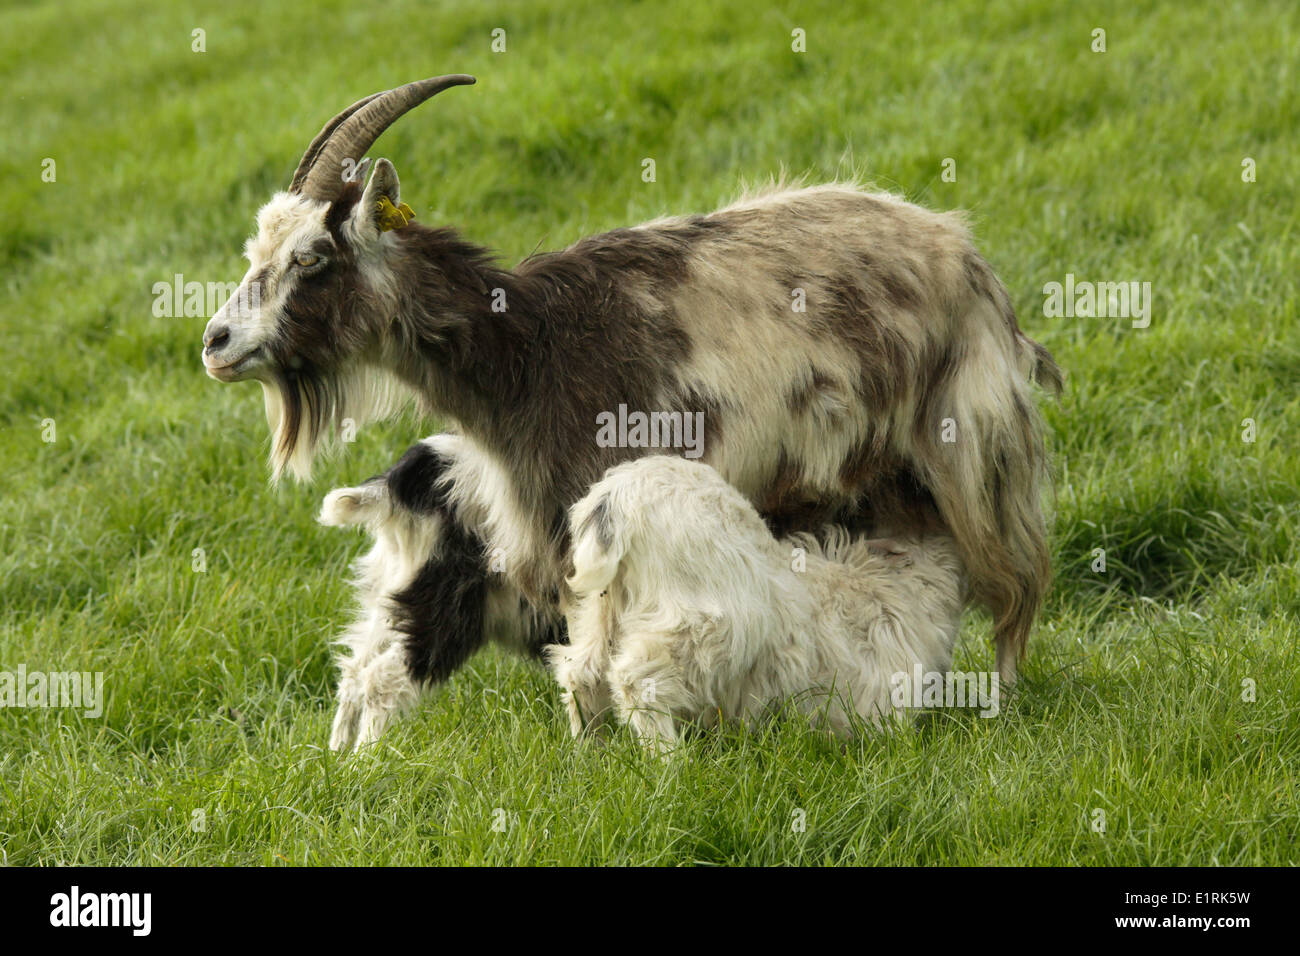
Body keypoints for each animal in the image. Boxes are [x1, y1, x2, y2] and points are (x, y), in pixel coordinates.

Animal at [548, 456, 968, 752]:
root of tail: (616, 498)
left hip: (600, 612)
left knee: (580, 673)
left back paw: (590, 752)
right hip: (706, 624)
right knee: (637, 678)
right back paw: (668, 762)